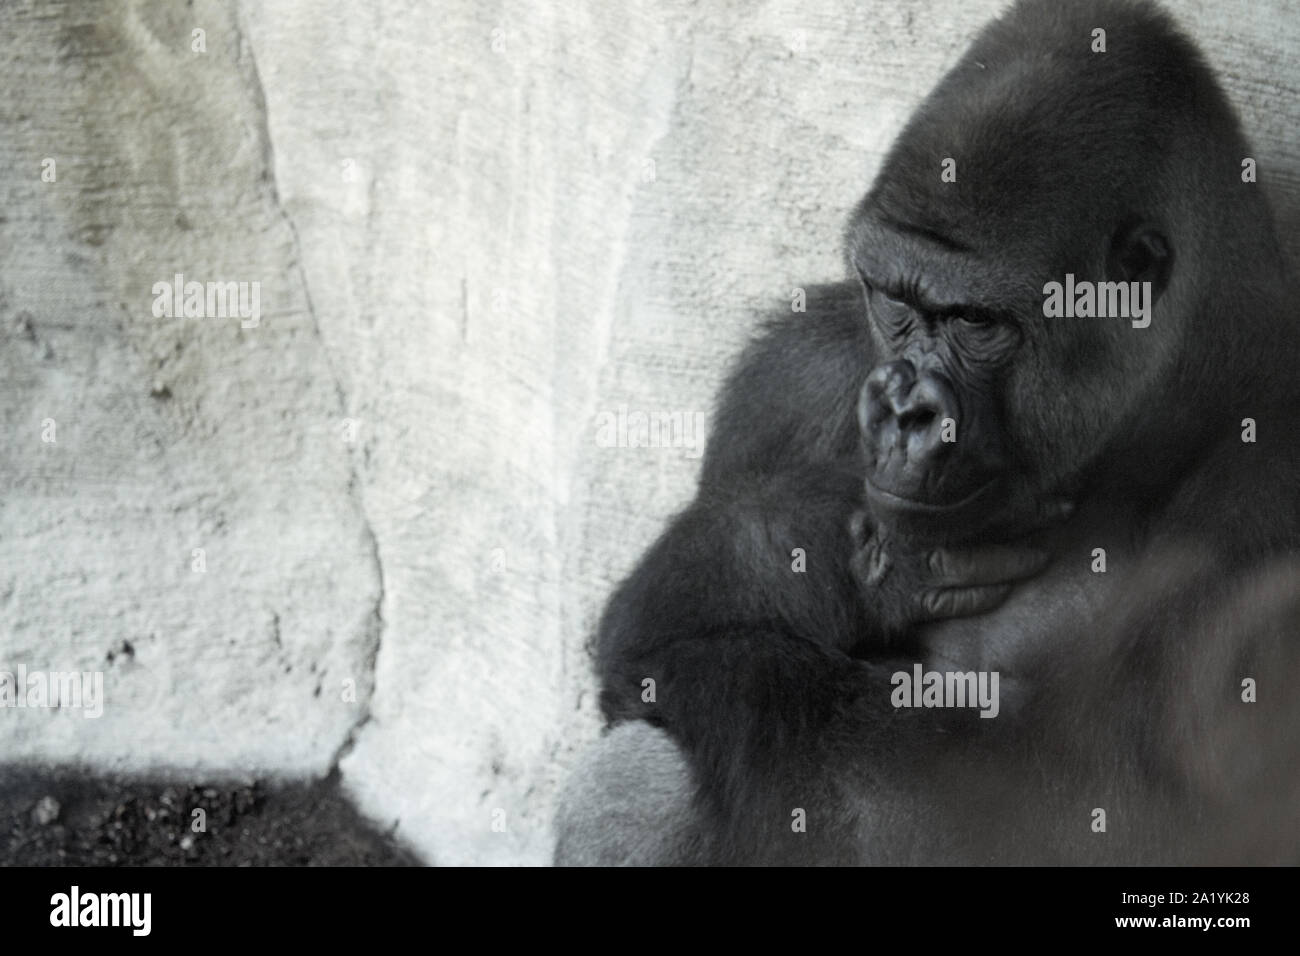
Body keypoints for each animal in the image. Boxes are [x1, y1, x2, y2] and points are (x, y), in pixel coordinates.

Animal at [555, 0, 1300, 865]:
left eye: (976, 321)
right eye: (893, 300)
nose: (904, 410)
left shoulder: (1272, 478)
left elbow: (1115, 805)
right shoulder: (790, 376)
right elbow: (639, 669)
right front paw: (818, 556)